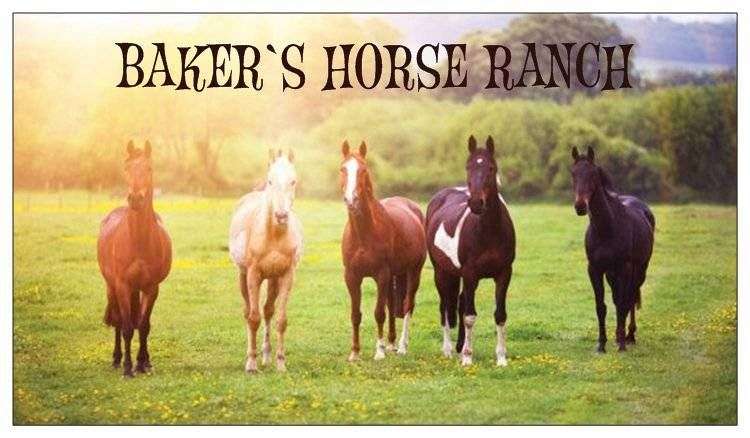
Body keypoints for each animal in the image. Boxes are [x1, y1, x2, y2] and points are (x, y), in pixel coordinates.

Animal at [97, 140, 172, 377]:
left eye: (149, 168)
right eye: (127, 167)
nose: (136, 199)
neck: (138, 241)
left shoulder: (151, 287)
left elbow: (144, 325)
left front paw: (141, 363)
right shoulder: (122, 285)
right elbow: (127, 326)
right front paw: (128, 368)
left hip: (136, 289)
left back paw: (145, 361)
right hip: (112, 287)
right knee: (119, 321)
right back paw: (116, 359)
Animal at [229, 149, 302, 373]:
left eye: (293, 181)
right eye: (271, 181)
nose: (281, 215)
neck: (274, 235)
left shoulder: (287, 275)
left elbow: (281, 320)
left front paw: (281, 363)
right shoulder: (254, 274)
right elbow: (253, 318)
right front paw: (251, 364)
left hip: (273, 279)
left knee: (268, 310)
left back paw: (267, 355)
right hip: (244, 275)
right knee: (248, 312)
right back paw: (250, 356)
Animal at [339, 140, 426, 361]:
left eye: (363, 170)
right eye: (343, 169)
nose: (351, 200)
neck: (364, 233)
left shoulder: (381, 274)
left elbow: (379, 312)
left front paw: (378, 352)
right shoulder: (352, 276)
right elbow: (356, 314)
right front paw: (355, 352)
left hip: (413, 272)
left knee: (407, 305)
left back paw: (402, 346)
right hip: (394, 275)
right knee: (392, 304)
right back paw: (392, 344)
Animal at [426, 136, 516, 367]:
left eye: (491, 167)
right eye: (468, 166)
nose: (476, 203)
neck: (489, 231)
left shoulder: (504, 274)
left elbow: (500, 314)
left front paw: (501, 358)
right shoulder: (470, 274)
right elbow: (469, 316)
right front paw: (467, 358)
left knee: (458, 302)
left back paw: (458, 347)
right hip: (442, 273)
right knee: (445, 307)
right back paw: (449, 350)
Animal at [570, 146, 655, 352]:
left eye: (593, 174)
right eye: (573, 174)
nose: (580, 206)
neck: (607, 227)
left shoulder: (624, 268)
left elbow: (624, 303)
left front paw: (622, 345)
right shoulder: (595, 269)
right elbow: (601, 306)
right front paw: (601, 344)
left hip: (639, 270)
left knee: (630, 297)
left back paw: (629, 336)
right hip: (612, 274)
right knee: (619, 299)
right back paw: (618, 335)